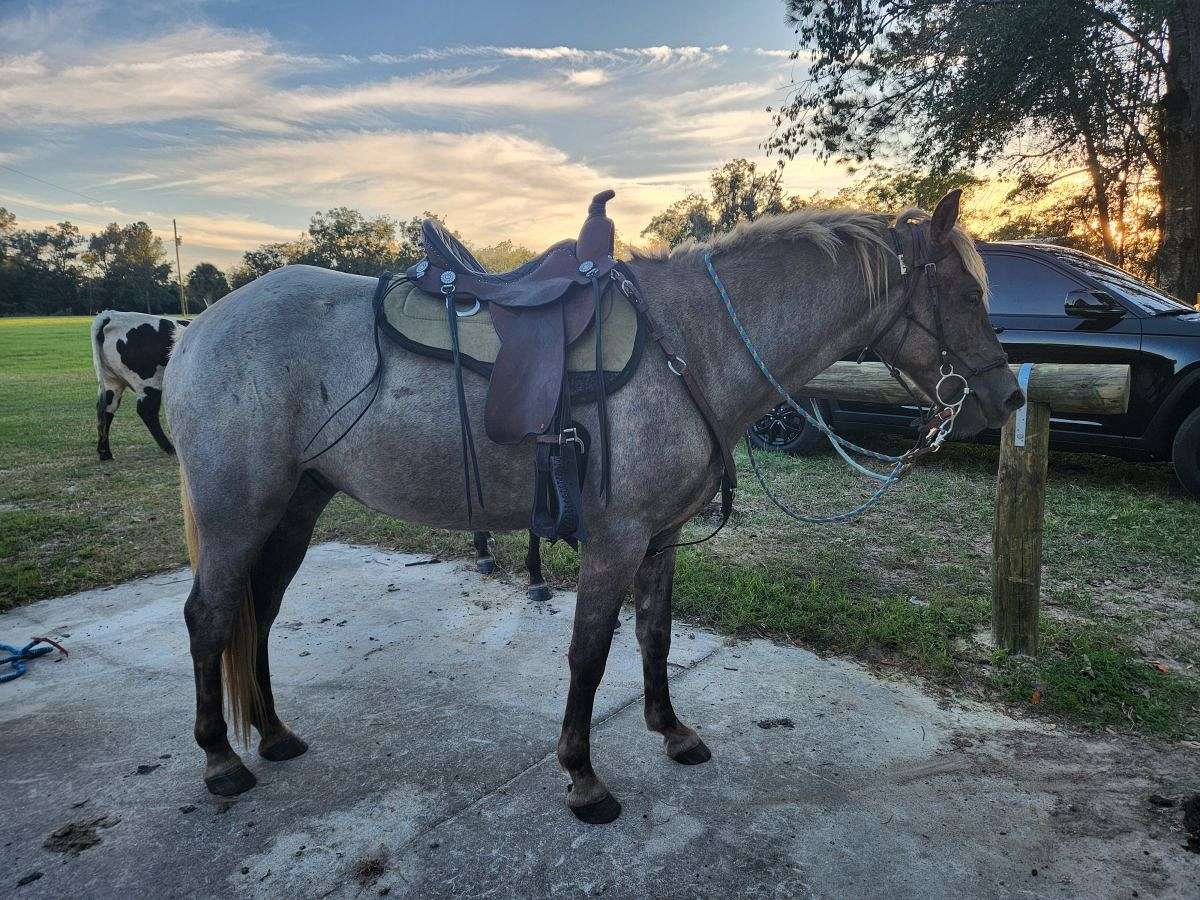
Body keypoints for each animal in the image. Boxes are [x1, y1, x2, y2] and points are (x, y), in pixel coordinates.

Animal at [164, 191, 1022, 824]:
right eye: (962, 290)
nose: (1006, 398)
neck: (693, 345)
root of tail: (198, 329)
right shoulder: (616, 538)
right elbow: (590, 651)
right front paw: (582, 776)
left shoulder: (661, 537)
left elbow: (654, 635)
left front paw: (671, 731)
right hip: (239, 509)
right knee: (210, 616)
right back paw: (221, 760)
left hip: (297, 504)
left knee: (259, 611)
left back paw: (274, 735)